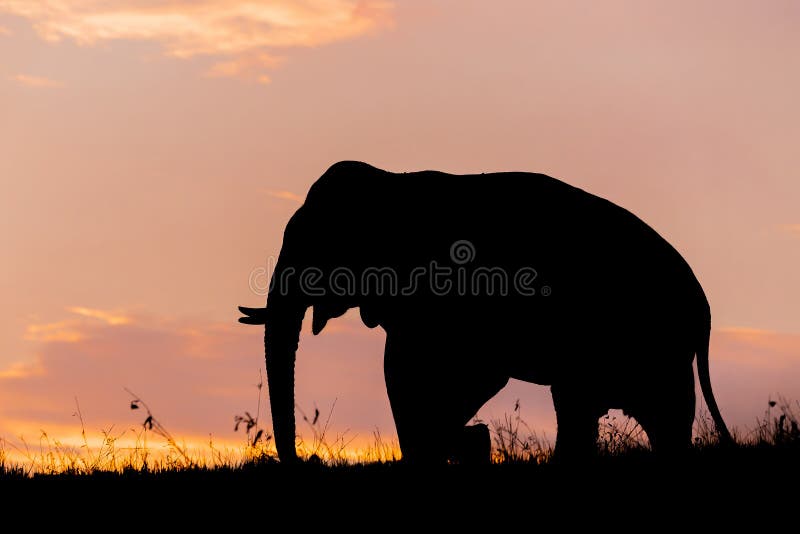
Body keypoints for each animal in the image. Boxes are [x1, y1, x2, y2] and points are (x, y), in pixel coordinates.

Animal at [239, 160, 731, 464]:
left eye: (317, 245)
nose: (309, 460)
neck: (392, 183)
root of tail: (704, 308)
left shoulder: (460, 293)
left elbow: (452, 373)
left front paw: (465, 441)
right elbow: (402, 370)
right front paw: (468, 442)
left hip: (658, 341)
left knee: (657, 414)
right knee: (587, 406)